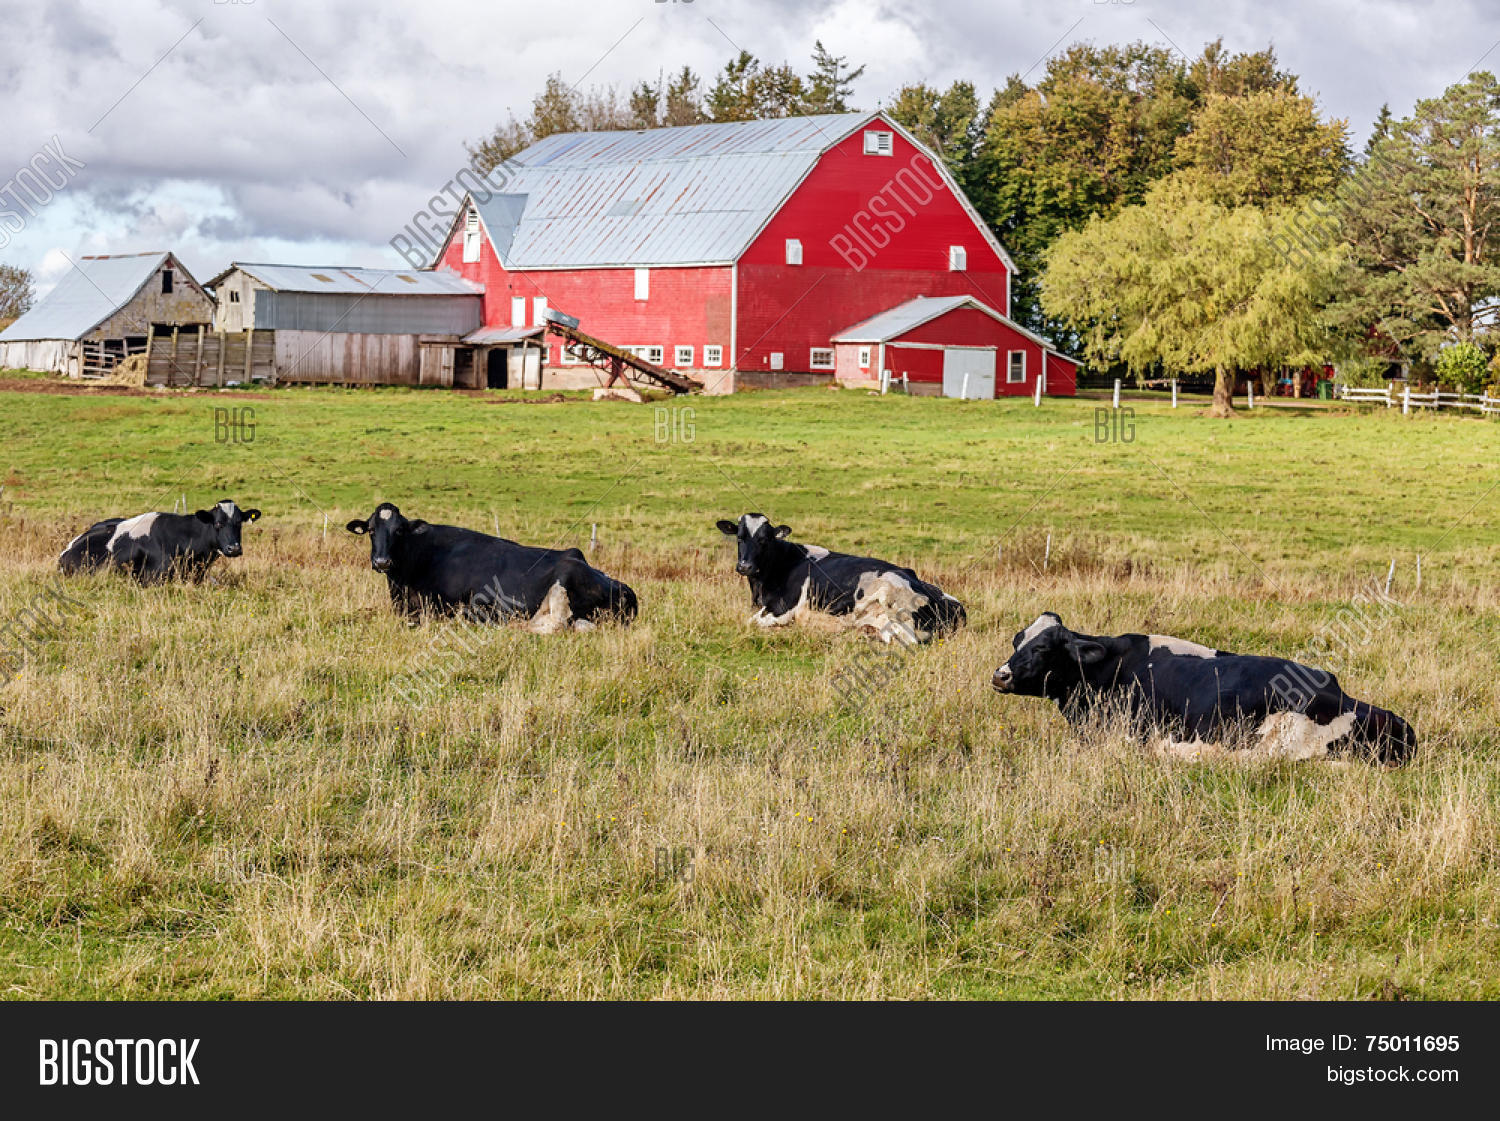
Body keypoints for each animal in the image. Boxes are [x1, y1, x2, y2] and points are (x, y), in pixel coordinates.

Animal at [715, 513, 965, 644]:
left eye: (764, 540)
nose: (745, 566)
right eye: (739, 538)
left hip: (894, 596)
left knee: (905, 640)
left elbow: (750, 621)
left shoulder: (783, 609)